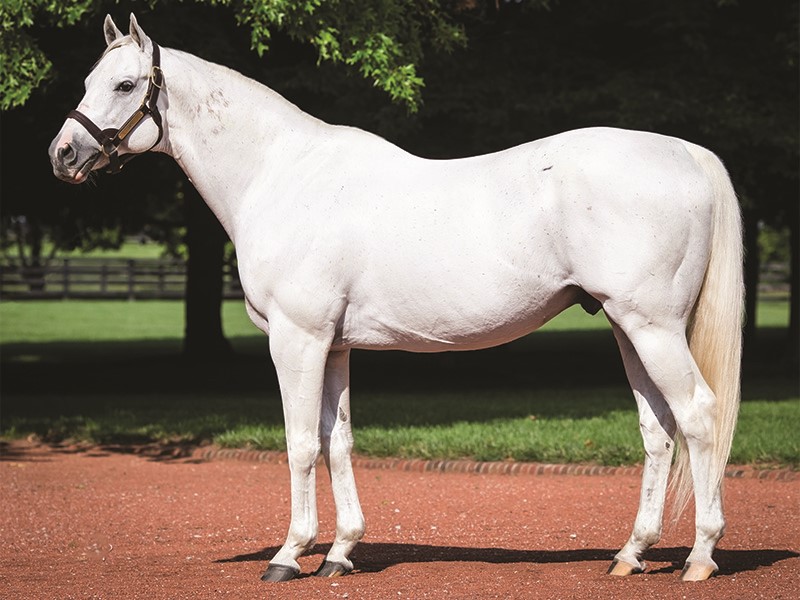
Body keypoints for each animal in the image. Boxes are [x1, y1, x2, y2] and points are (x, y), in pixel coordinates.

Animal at [49, 14, 744, 583]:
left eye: (124, 85)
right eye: (88, 79)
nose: (62, 154)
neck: (282, 174)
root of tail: (685, 151)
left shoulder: (296, 340)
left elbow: (300, 444)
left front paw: (289, 554)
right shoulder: (332, 347)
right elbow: (337, 441)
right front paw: (339, 553)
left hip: (653, 327)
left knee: (699, 415)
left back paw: (700, 557)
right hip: (629, 329)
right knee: (658, 430)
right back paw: (630, 555)